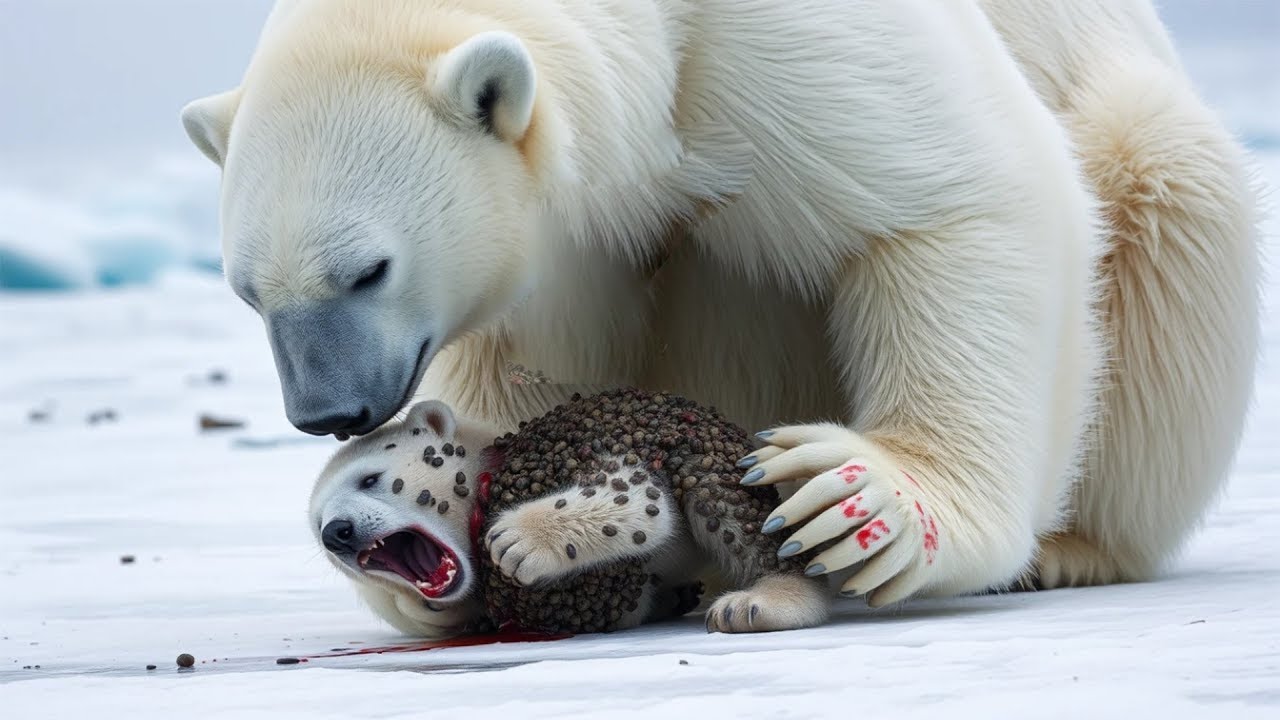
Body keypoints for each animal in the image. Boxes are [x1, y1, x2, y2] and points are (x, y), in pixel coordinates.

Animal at [184, 0, 1261, 634]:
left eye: (369, 268)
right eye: (246, 289)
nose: (328, 412)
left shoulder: (774, 38)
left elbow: (957, 200)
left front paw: (859, 502)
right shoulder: (564, 238)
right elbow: (528, 354)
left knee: (1163, 180)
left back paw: (1072, 551)